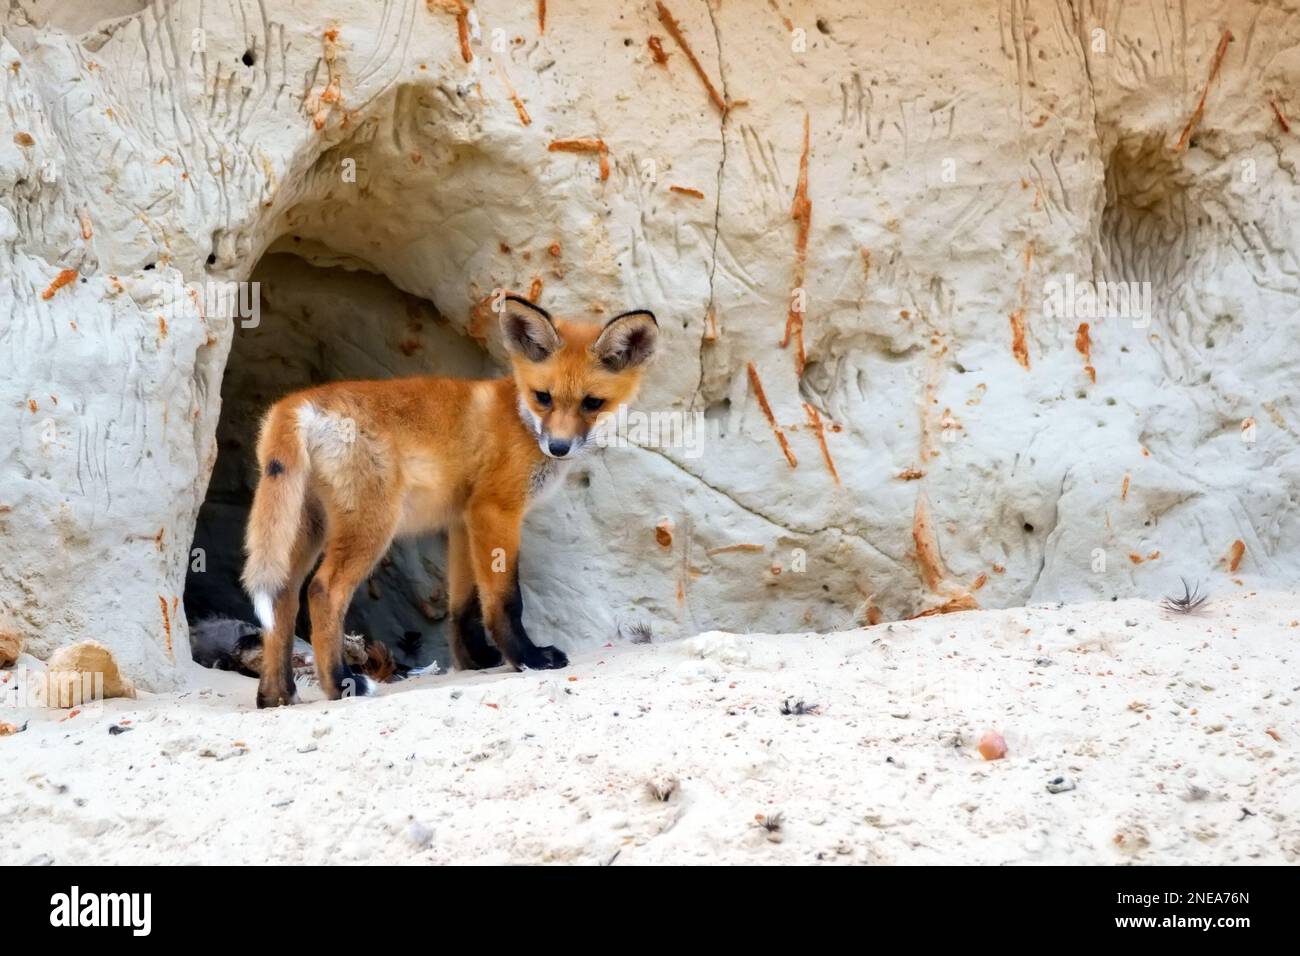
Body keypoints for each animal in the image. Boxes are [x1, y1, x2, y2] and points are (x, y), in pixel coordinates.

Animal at [240, 295, 658, 708]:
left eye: (592, 403)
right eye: (544, 397)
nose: (558, 447)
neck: (520, 418)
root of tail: (296, 403)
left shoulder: (463, 520)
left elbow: (464, 605)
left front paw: (475, 659)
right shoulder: (495, 510)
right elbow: (505, 600)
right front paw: (527, 658)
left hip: (305, 531)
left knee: (281, 599)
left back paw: (275, 695)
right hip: (372, 526)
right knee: (322, 592)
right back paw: (341, 685)